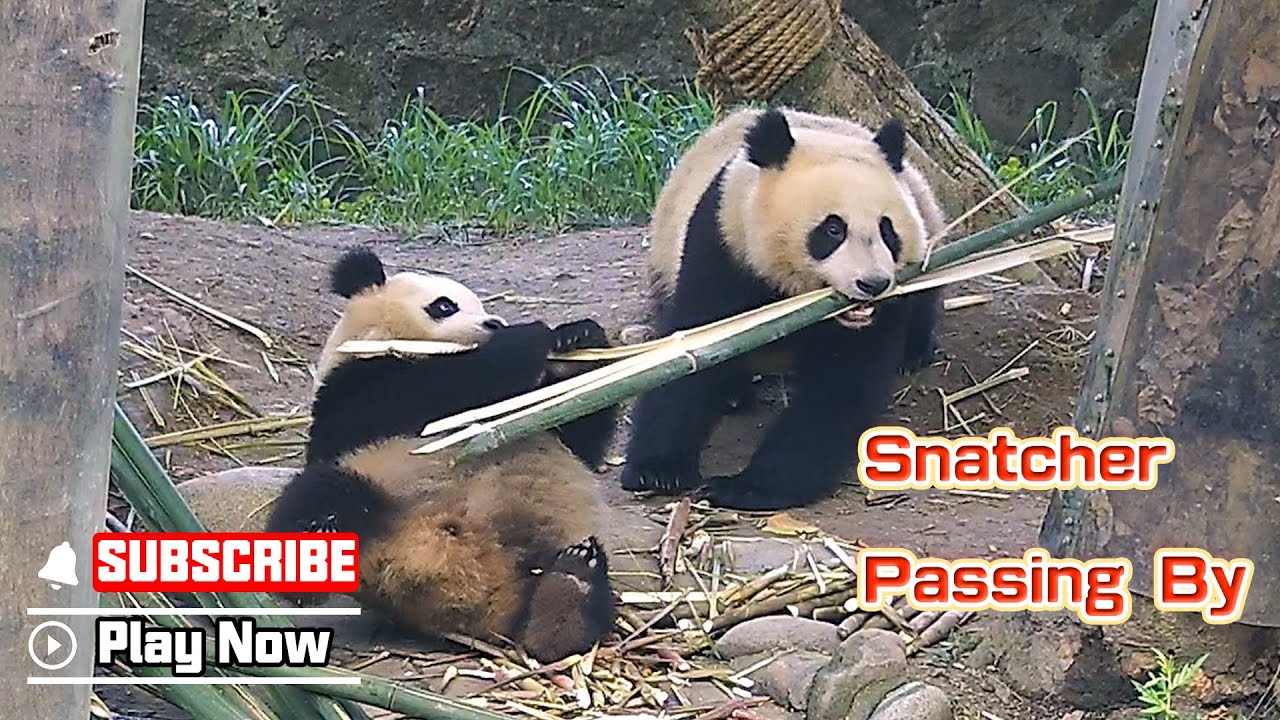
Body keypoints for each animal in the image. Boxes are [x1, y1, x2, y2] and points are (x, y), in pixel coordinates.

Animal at [266, 246, 619, 663]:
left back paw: (569, 591)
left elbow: (578, 435)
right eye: (444, 305)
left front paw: (577, 338)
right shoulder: (356, 388)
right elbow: (436, 386)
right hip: (375, 497)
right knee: (323, 498)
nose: (495, 323)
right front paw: (526, 338)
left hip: (539, 559)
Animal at [621, 106, 947, 511]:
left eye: (888, 231)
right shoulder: (724, 244)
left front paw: (746, 488)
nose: (872, 284)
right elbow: (692, 346)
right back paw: (734, 394)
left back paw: (913, 353)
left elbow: (840, 385)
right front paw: (657, 471)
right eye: (833, 230)